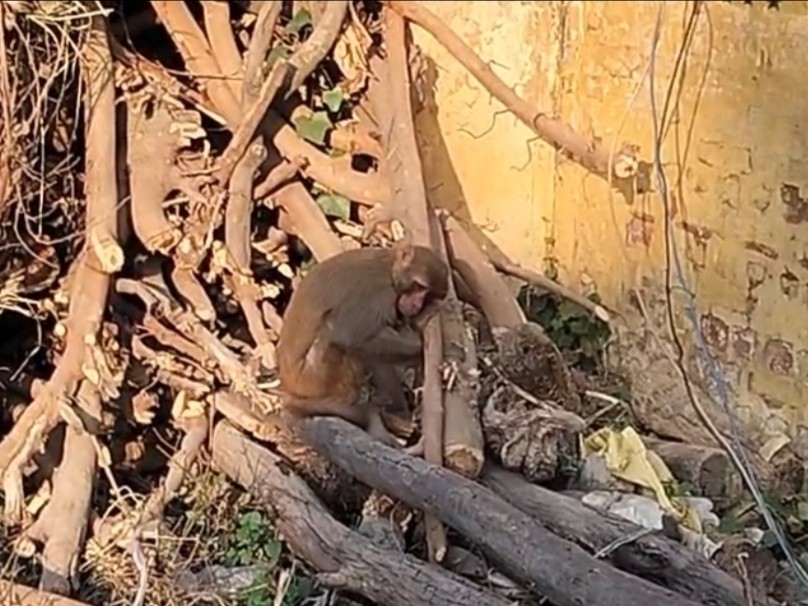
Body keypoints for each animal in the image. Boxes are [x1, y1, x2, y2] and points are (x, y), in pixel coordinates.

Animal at [276, 243, 449, 449]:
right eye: (418, 286)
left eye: (428, 294)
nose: (416, 304)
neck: (390, 267)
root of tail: (287, 384)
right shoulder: (381, 294)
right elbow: (352, 337)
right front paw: (420, 346)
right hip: (315, 378)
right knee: (341, 339)